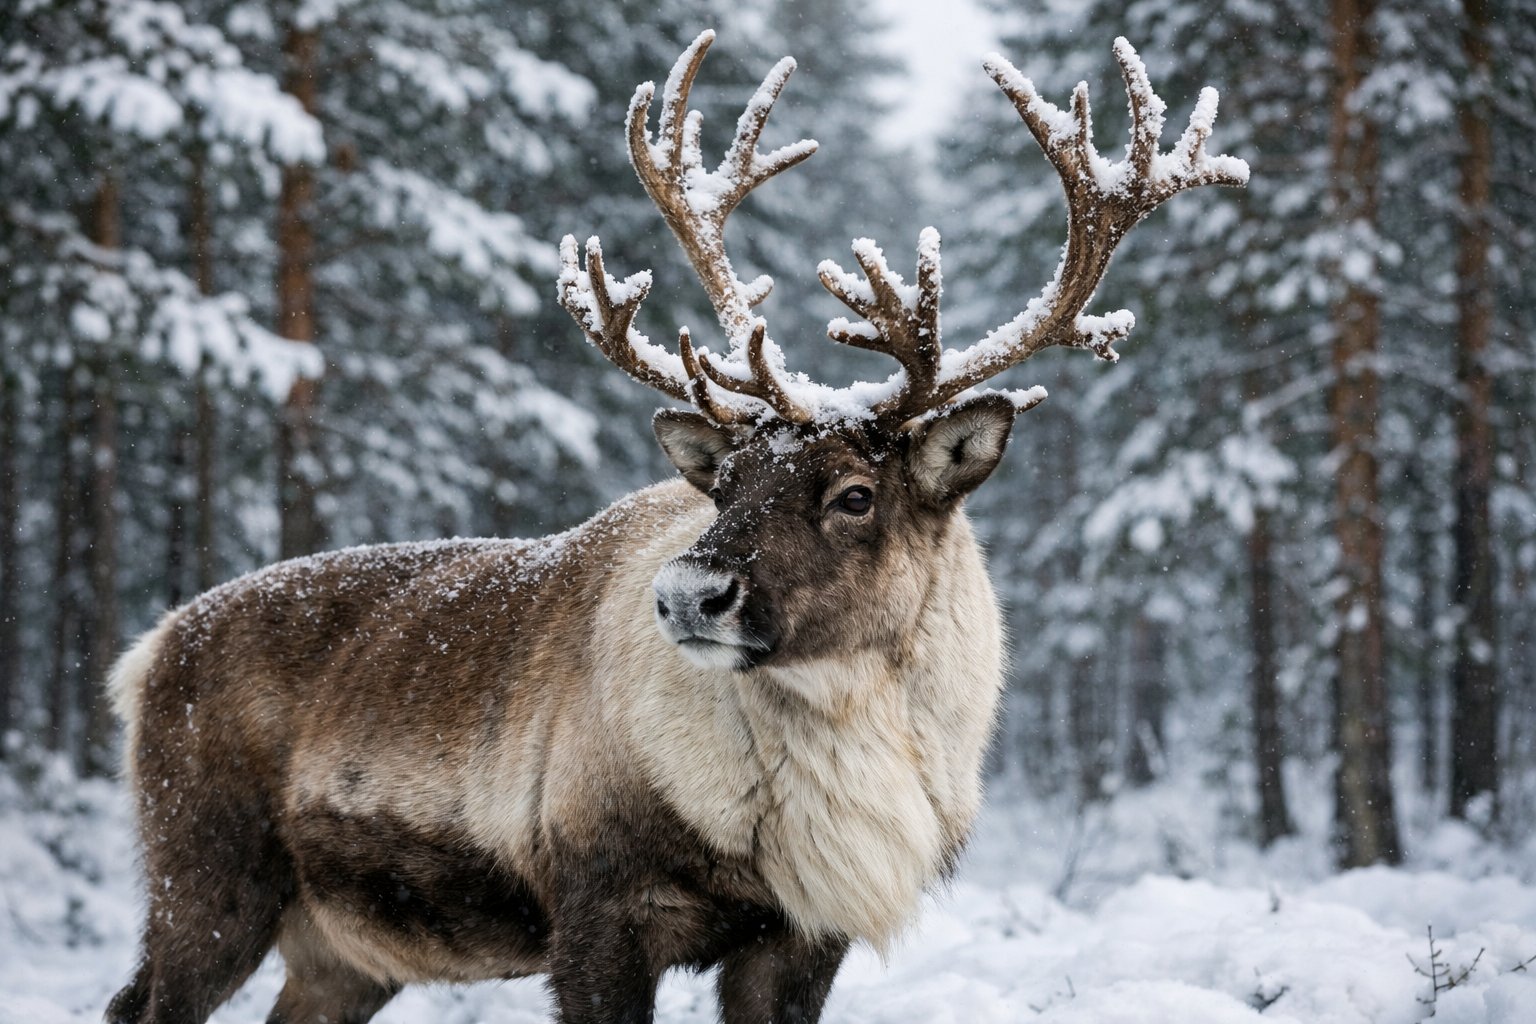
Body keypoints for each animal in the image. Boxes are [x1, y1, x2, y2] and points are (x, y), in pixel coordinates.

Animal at [105, 30, 1245, 1024]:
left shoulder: (799, 939)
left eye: (855, 494)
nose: (689, 594)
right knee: (142, 1001)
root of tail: (145, 653)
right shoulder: (600, 915)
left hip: (345, 952)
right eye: (723, 483)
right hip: (207, 878)